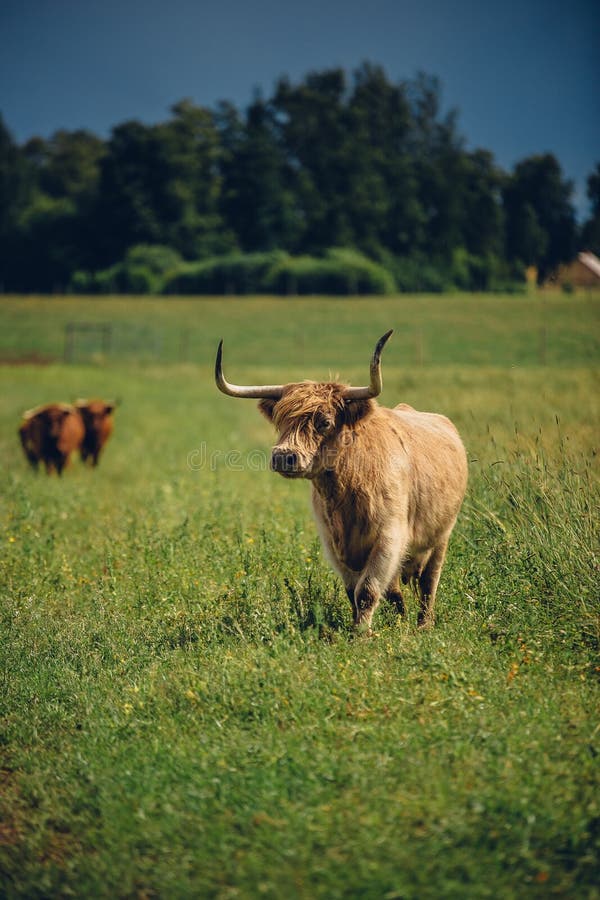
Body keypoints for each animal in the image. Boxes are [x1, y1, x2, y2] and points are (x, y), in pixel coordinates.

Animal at [215, 331, 468, 632]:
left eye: (324, 422)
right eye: (280, 420)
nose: (284, 456)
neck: (347, 491)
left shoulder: (390, 536)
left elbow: (367, 590)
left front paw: (361, 633)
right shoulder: (332, 542)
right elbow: (354, 590)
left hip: (441, 536)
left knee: (429, 583)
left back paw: (423, 626)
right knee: (398, 588)